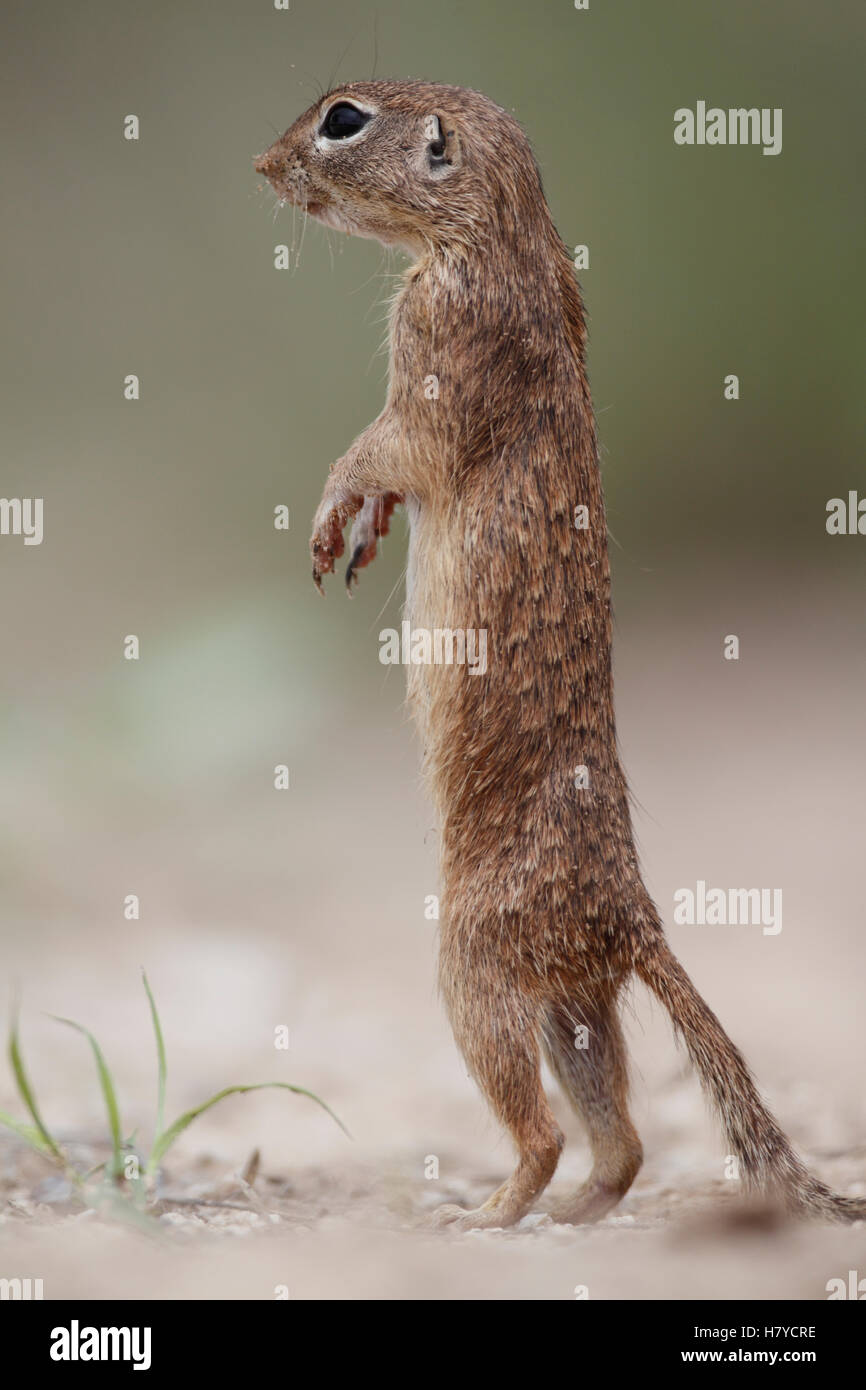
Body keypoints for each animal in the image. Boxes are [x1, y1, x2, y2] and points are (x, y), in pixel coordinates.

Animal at [254, 81, 864, 1229]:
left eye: (344, 118)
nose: (263, 166)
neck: (499, 240)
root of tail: (631, 921)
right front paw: (365, 530)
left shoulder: (437, 349)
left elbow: (384, 444)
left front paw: (331, 515)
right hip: (570, 1003)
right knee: (619, 1138)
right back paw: (576, 1211)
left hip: (476, 971)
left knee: (541, 1128)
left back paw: (490, 1213)